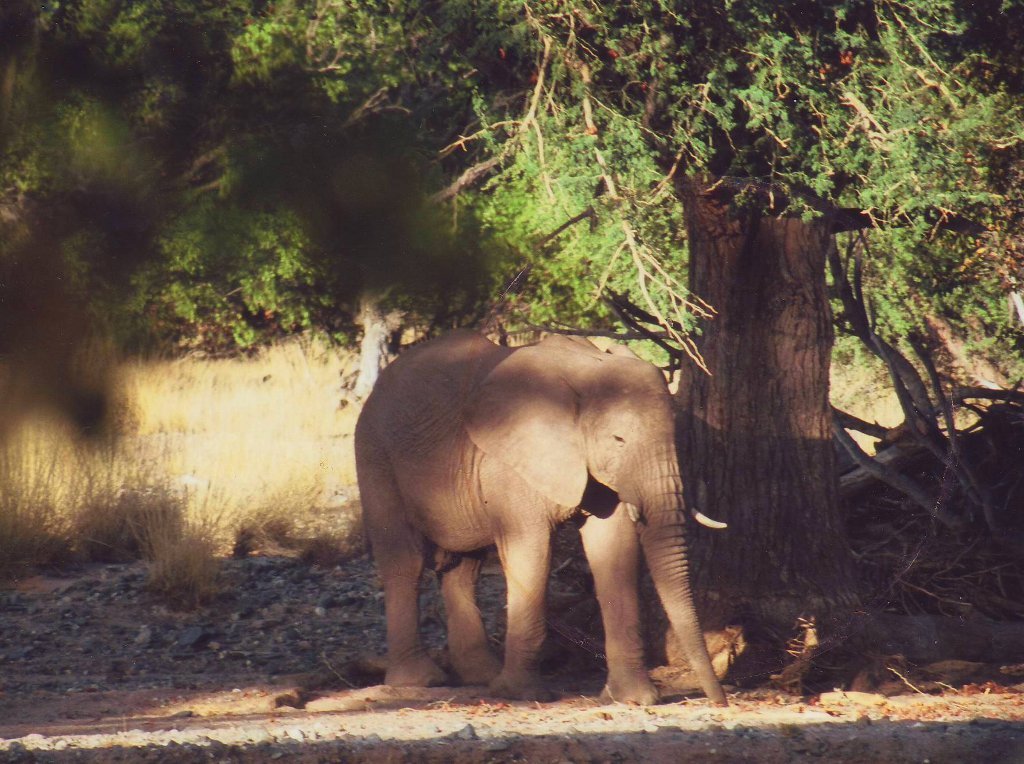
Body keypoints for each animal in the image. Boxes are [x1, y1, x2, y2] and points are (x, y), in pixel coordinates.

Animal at [354, 330, 727, 706]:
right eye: (618, 439)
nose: (720, 701)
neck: (587, 370)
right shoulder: (508, 462)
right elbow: (530, 550)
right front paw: (522, 693)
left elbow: (614, 547)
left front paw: (631, 700)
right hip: (374, 453)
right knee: (406, 561)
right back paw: (422, 680)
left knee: (464, 569)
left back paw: (481, 675)